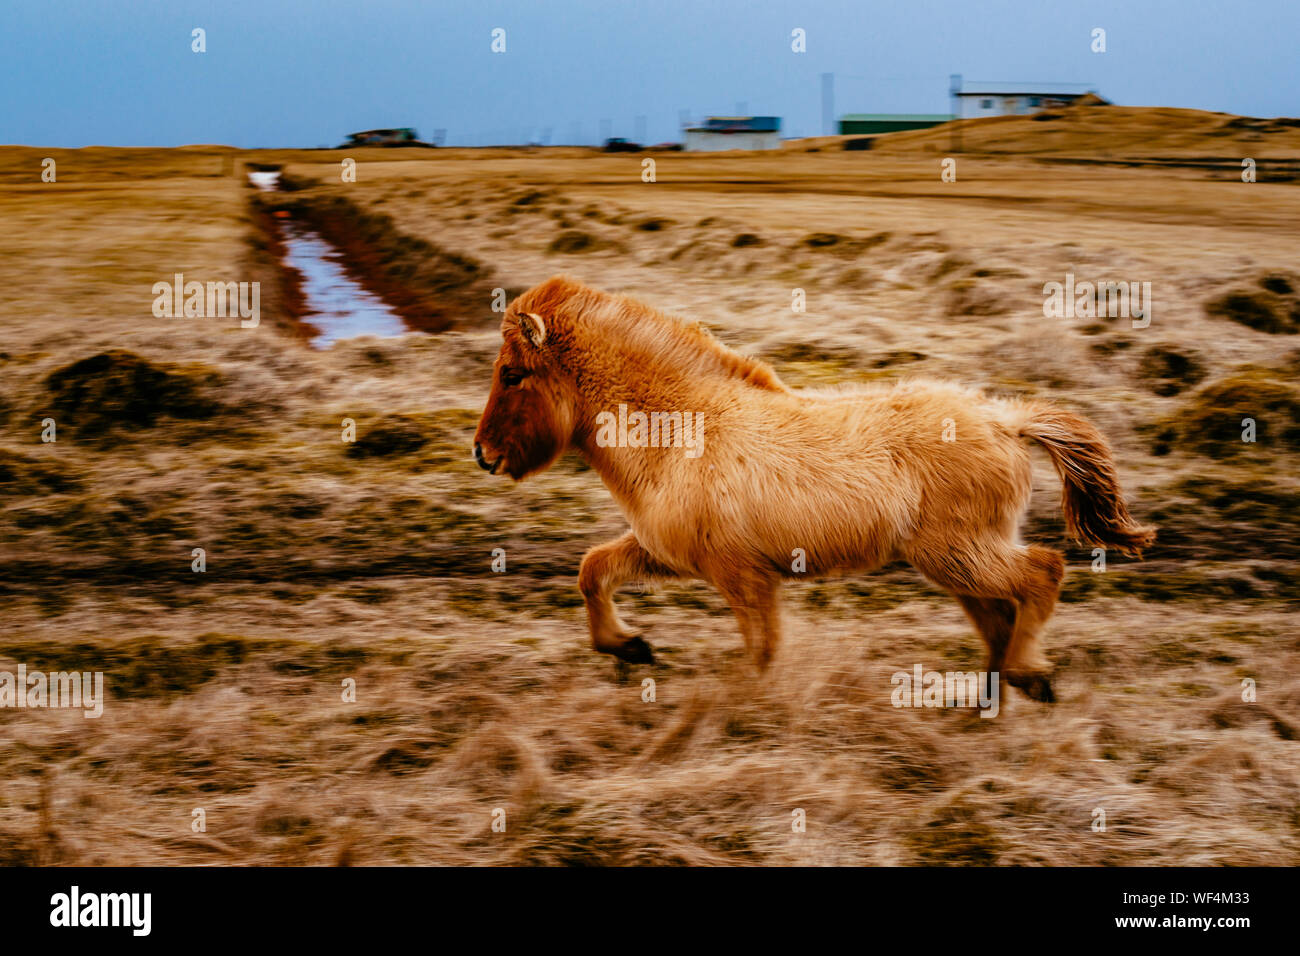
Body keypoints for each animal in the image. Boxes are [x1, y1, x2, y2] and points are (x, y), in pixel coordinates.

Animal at [473, 276, 1155, 702]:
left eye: (513, 374)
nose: (483, 454)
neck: (684, 431)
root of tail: (1005, 421)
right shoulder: (668, 554)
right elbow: (593, 569)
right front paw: (630, 647)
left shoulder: (744, 579)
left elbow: (762, 655)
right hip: (958, 565)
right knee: (999, 621)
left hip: (958, 554)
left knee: (1042, 574)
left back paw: (1031, 677)